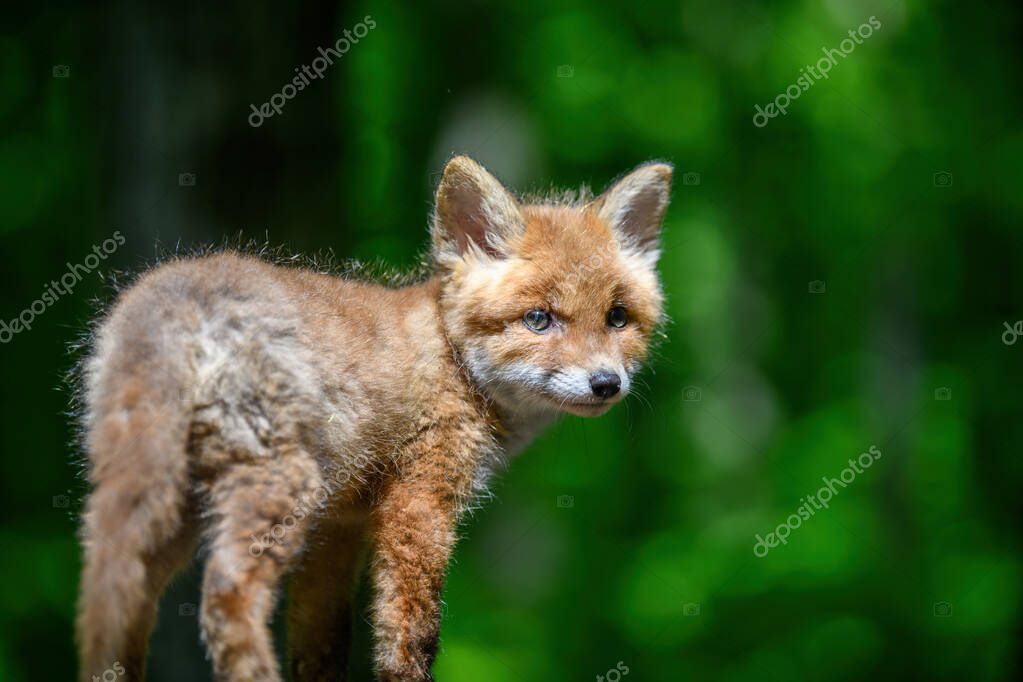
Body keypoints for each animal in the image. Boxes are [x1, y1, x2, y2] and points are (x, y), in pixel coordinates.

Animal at [75, 155, 671, 682]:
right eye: (539, 319)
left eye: (617, 318)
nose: (606, 383)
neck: (453, 360)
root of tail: (175, 298)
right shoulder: (418, 500)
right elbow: (409, 636)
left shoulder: (337, 528)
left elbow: (321, 647)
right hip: (279, 488)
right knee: (226, 597)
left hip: (166, 509)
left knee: (112, 602)